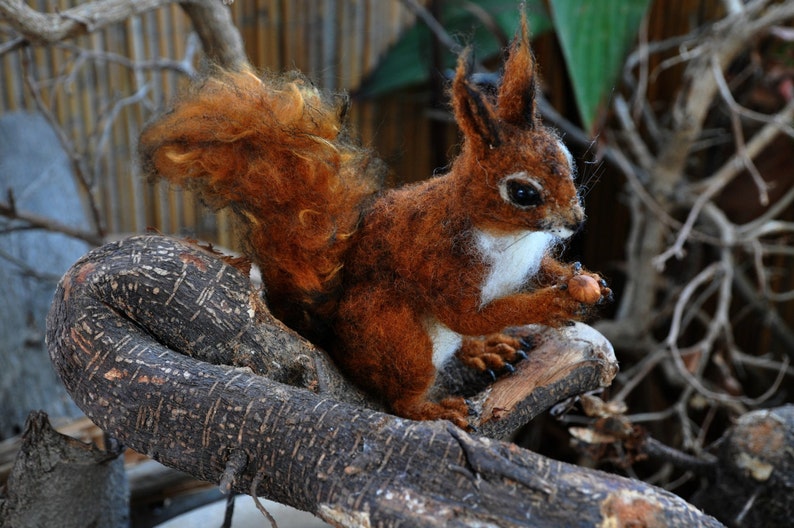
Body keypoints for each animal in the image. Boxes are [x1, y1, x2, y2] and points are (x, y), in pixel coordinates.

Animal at [138, 15, 610, 429]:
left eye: (568, 160)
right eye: (523, 193)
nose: (576, 221)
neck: (512, 236)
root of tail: (328, 333)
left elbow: (539, 271)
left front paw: (579, 277)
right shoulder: (444, 261)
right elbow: (465, 315)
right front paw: (553, 303)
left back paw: (486, 350)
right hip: (396, 337)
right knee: (402, 395)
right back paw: (433, 408)